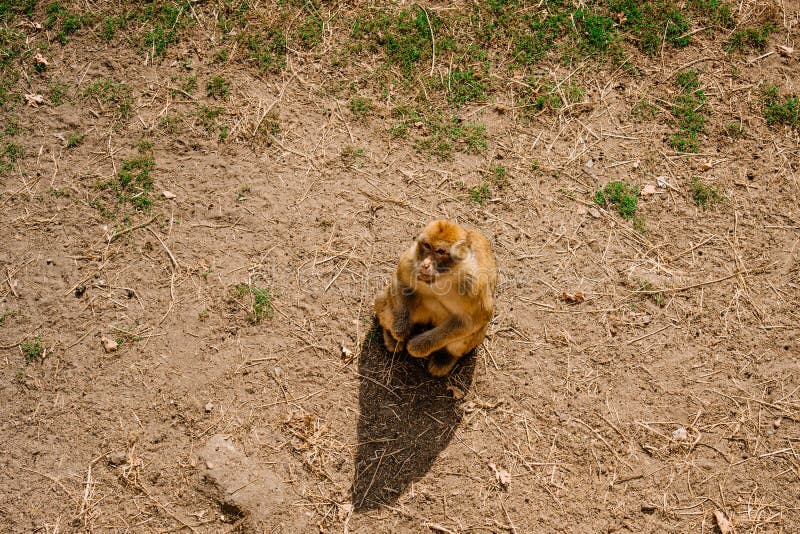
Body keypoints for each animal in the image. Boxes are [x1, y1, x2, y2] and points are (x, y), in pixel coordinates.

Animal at [374, 219, 497, 377]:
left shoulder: (473, 284)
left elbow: (473, 320)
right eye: (427, 246)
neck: (445, 276)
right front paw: (399, 330)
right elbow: (402, 281)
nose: (425, 264)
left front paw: (417, 347)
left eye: (440, 252)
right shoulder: (412, 259)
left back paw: (445, 357)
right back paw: (390, 336)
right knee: (386, 300)